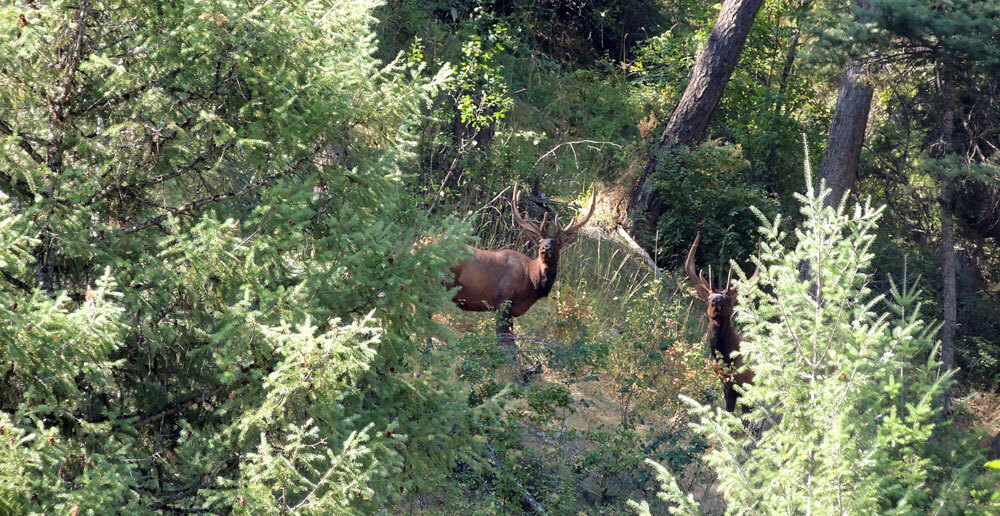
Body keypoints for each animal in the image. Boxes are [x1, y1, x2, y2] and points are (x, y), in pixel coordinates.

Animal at [449, 184, 597, 375]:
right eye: (540, 241)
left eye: (557, 242)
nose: (546, 247)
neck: (530, 281)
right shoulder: (503, 301)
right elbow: (505, 343)